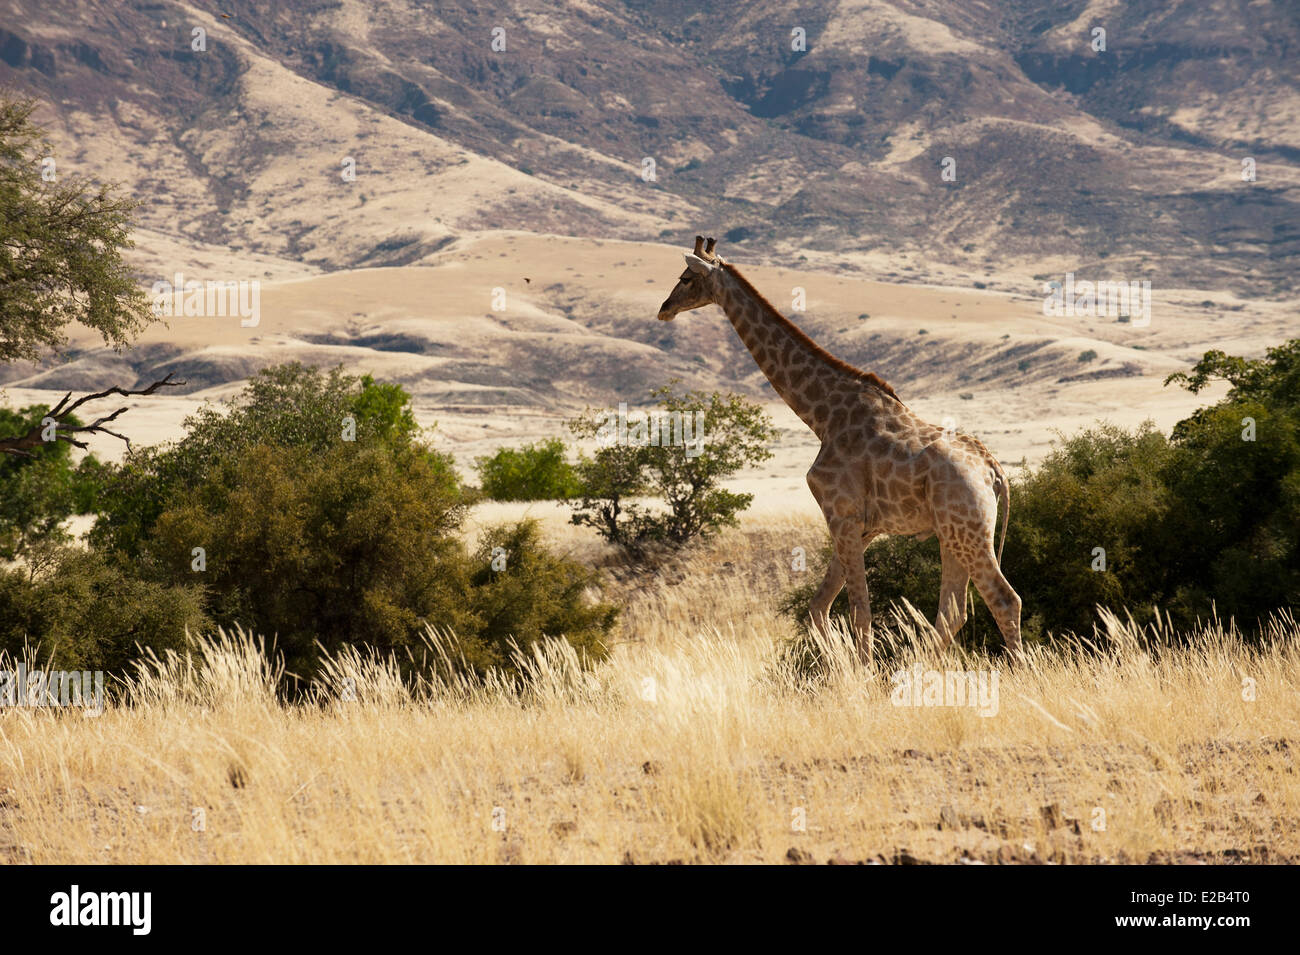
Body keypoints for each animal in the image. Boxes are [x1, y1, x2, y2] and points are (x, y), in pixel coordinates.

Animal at [656, 235, 1022, 664]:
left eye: (685, 277)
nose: (664, 309)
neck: (822, 416)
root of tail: (994, 471)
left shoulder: (841, 515)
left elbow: (858, 609)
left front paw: (858, 670)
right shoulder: (860, 526)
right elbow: (820, 606)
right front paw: (841, 665)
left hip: (968, 529)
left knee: (1003, 599)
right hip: (952, 533)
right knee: (954, 609)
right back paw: (913, 667)